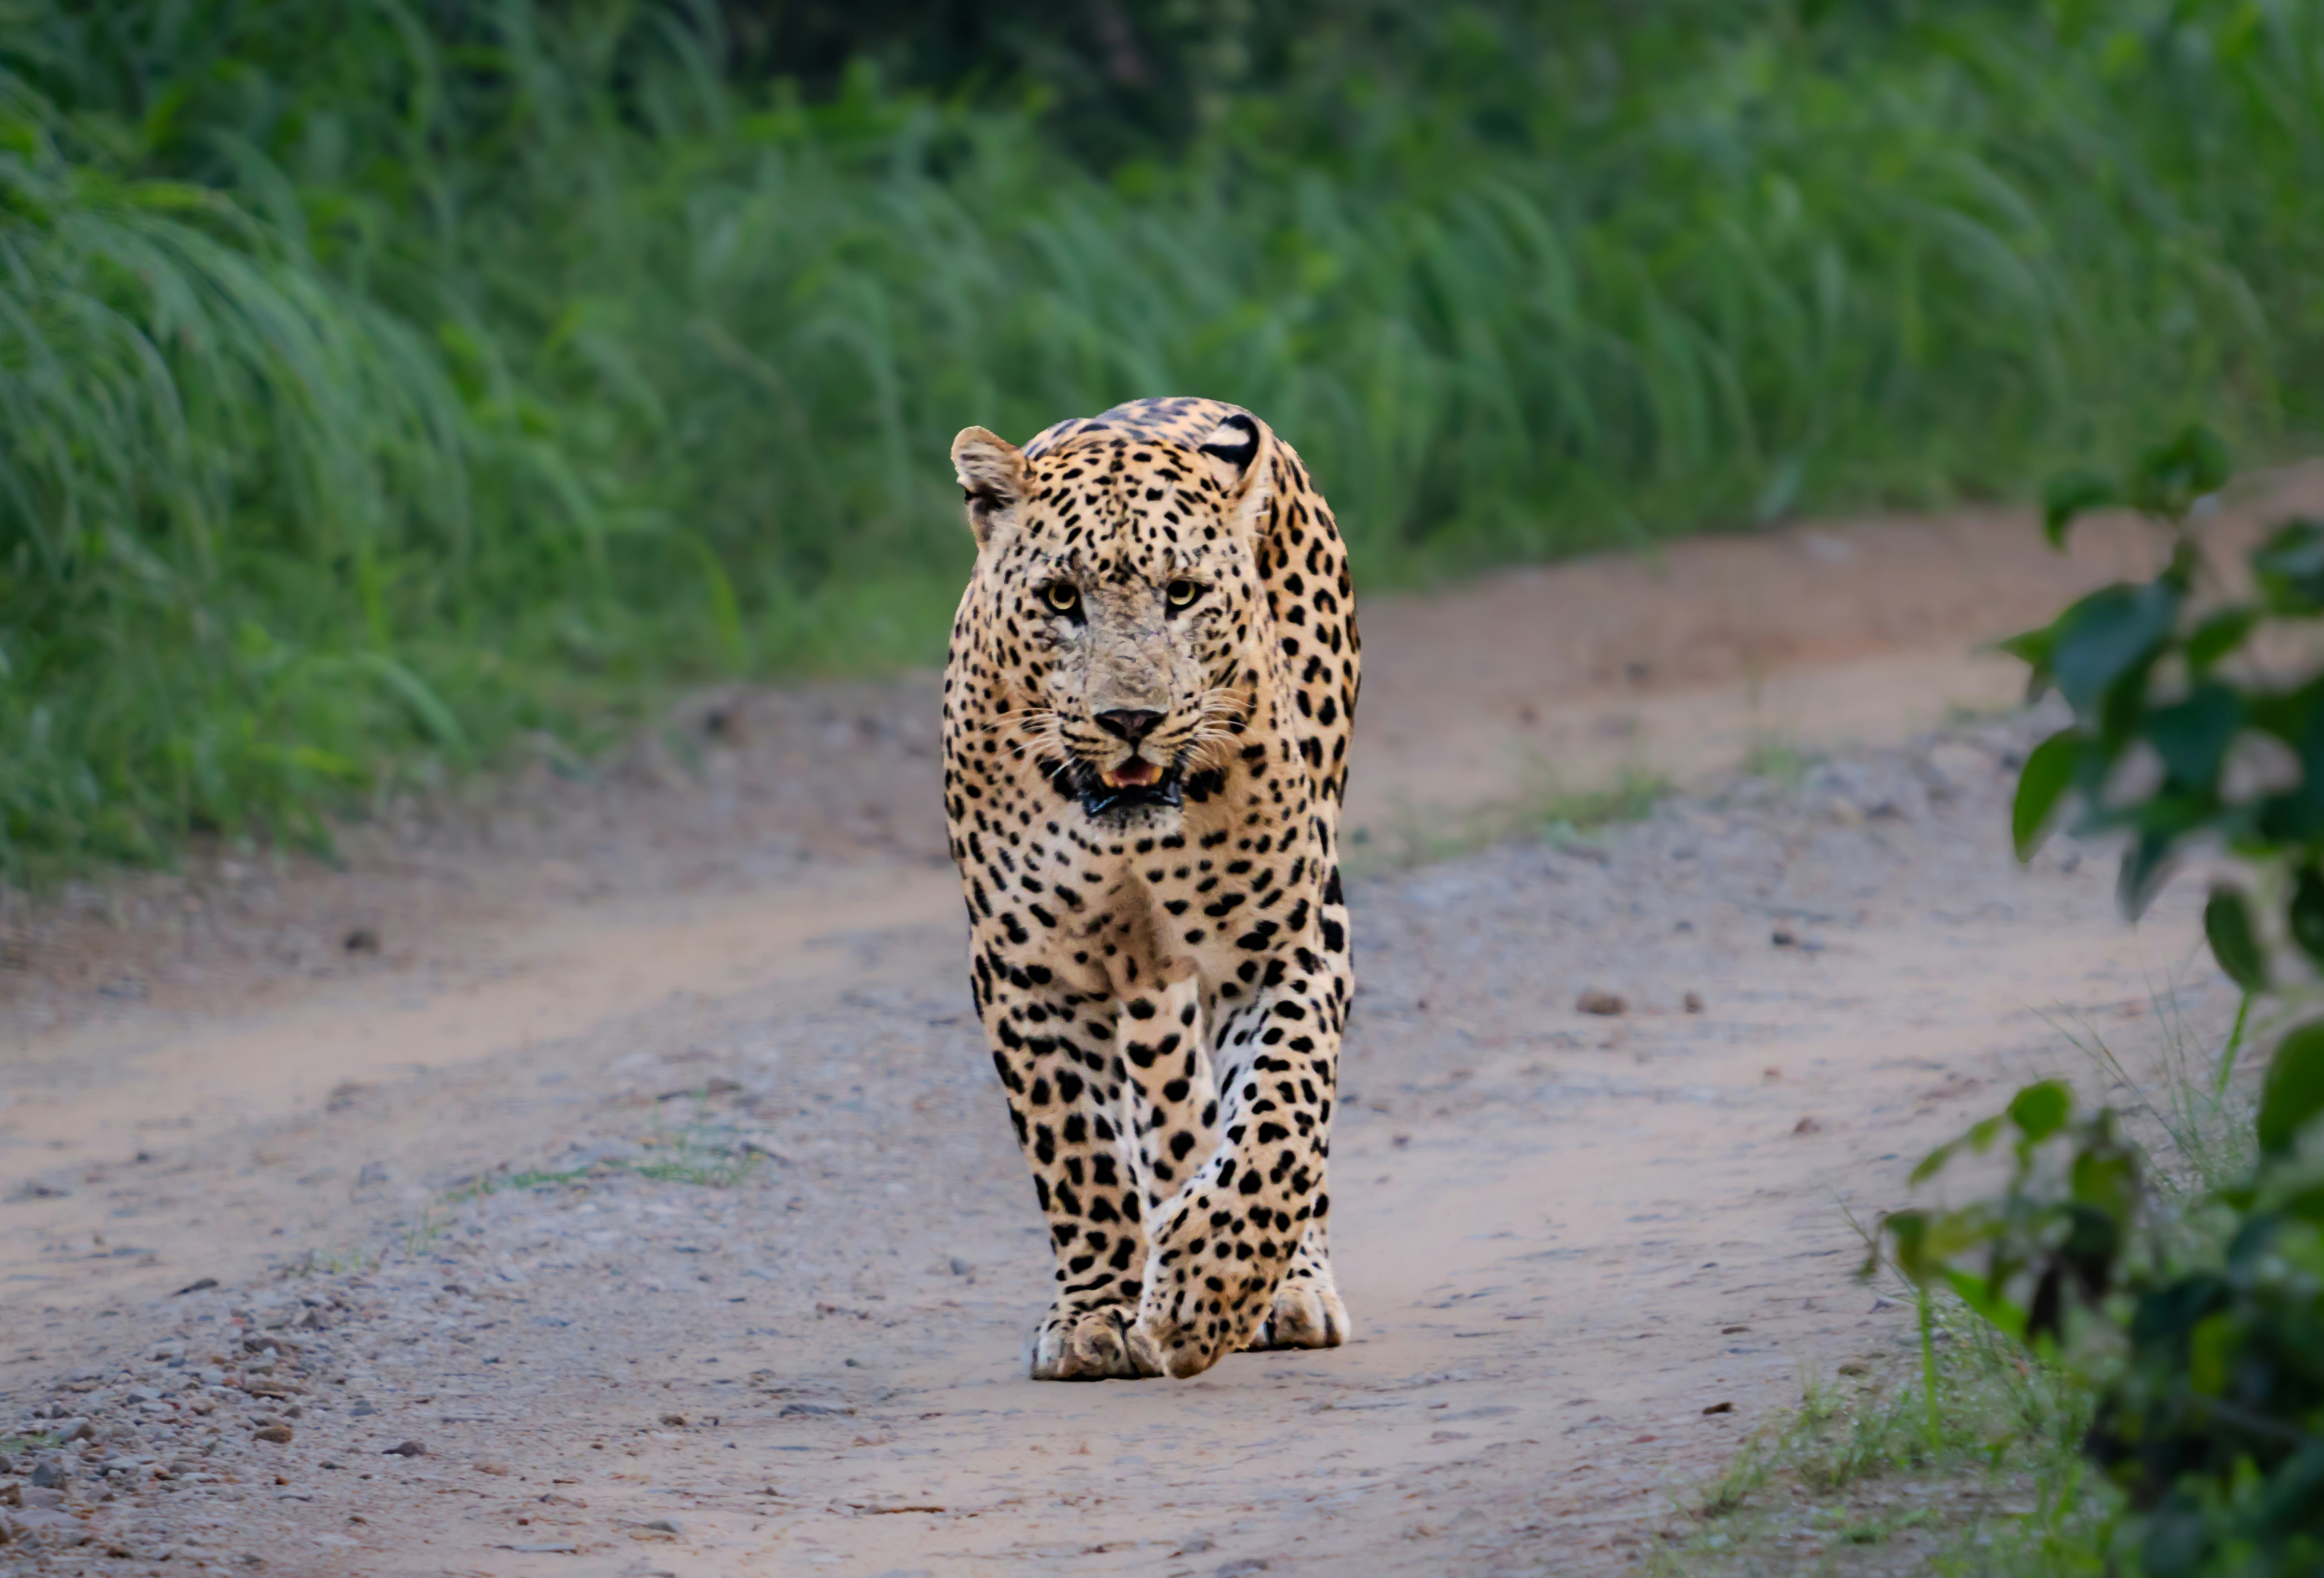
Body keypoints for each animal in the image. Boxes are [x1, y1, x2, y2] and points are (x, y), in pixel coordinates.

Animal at [941, 396, 1360, 1381]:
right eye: (1062, 598)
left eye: (1182, 595)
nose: (1129, 718)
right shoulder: (1028, 970)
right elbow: (1079, 1152)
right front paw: (1095, 1315)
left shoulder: (1287, 943)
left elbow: (1279, 1119)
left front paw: (1212, 1289)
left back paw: (1291, 1287)